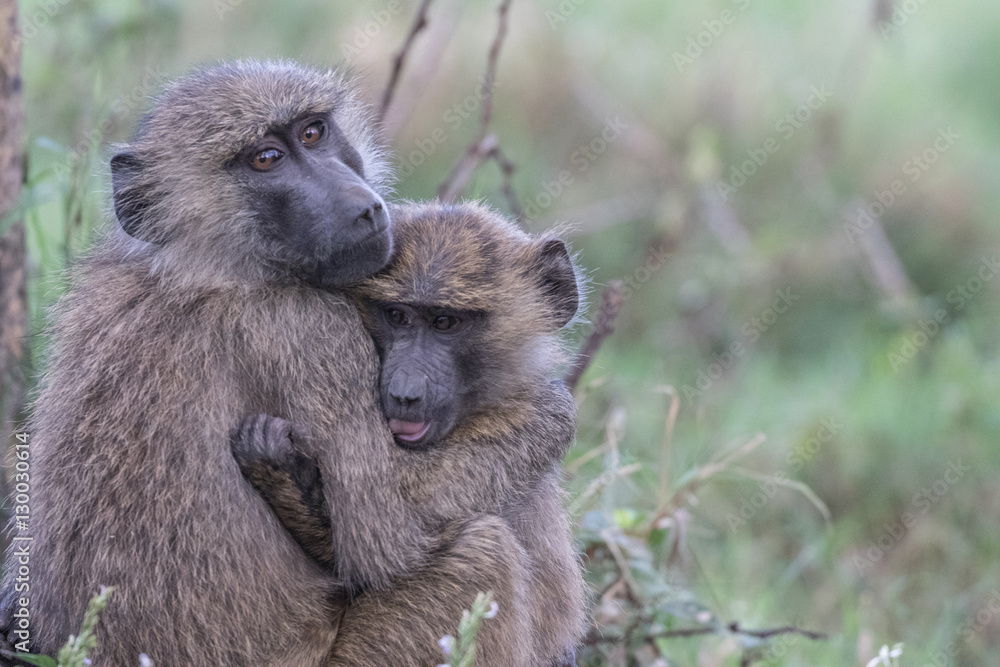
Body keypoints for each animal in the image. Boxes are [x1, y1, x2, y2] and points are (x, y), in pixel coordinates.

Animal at [230, 201, 590, 666]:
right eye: (397, 316)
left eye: (445, 322)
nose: (403, 393)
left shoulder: (540, 420)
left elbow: (377, 549)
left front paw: (281, 472)